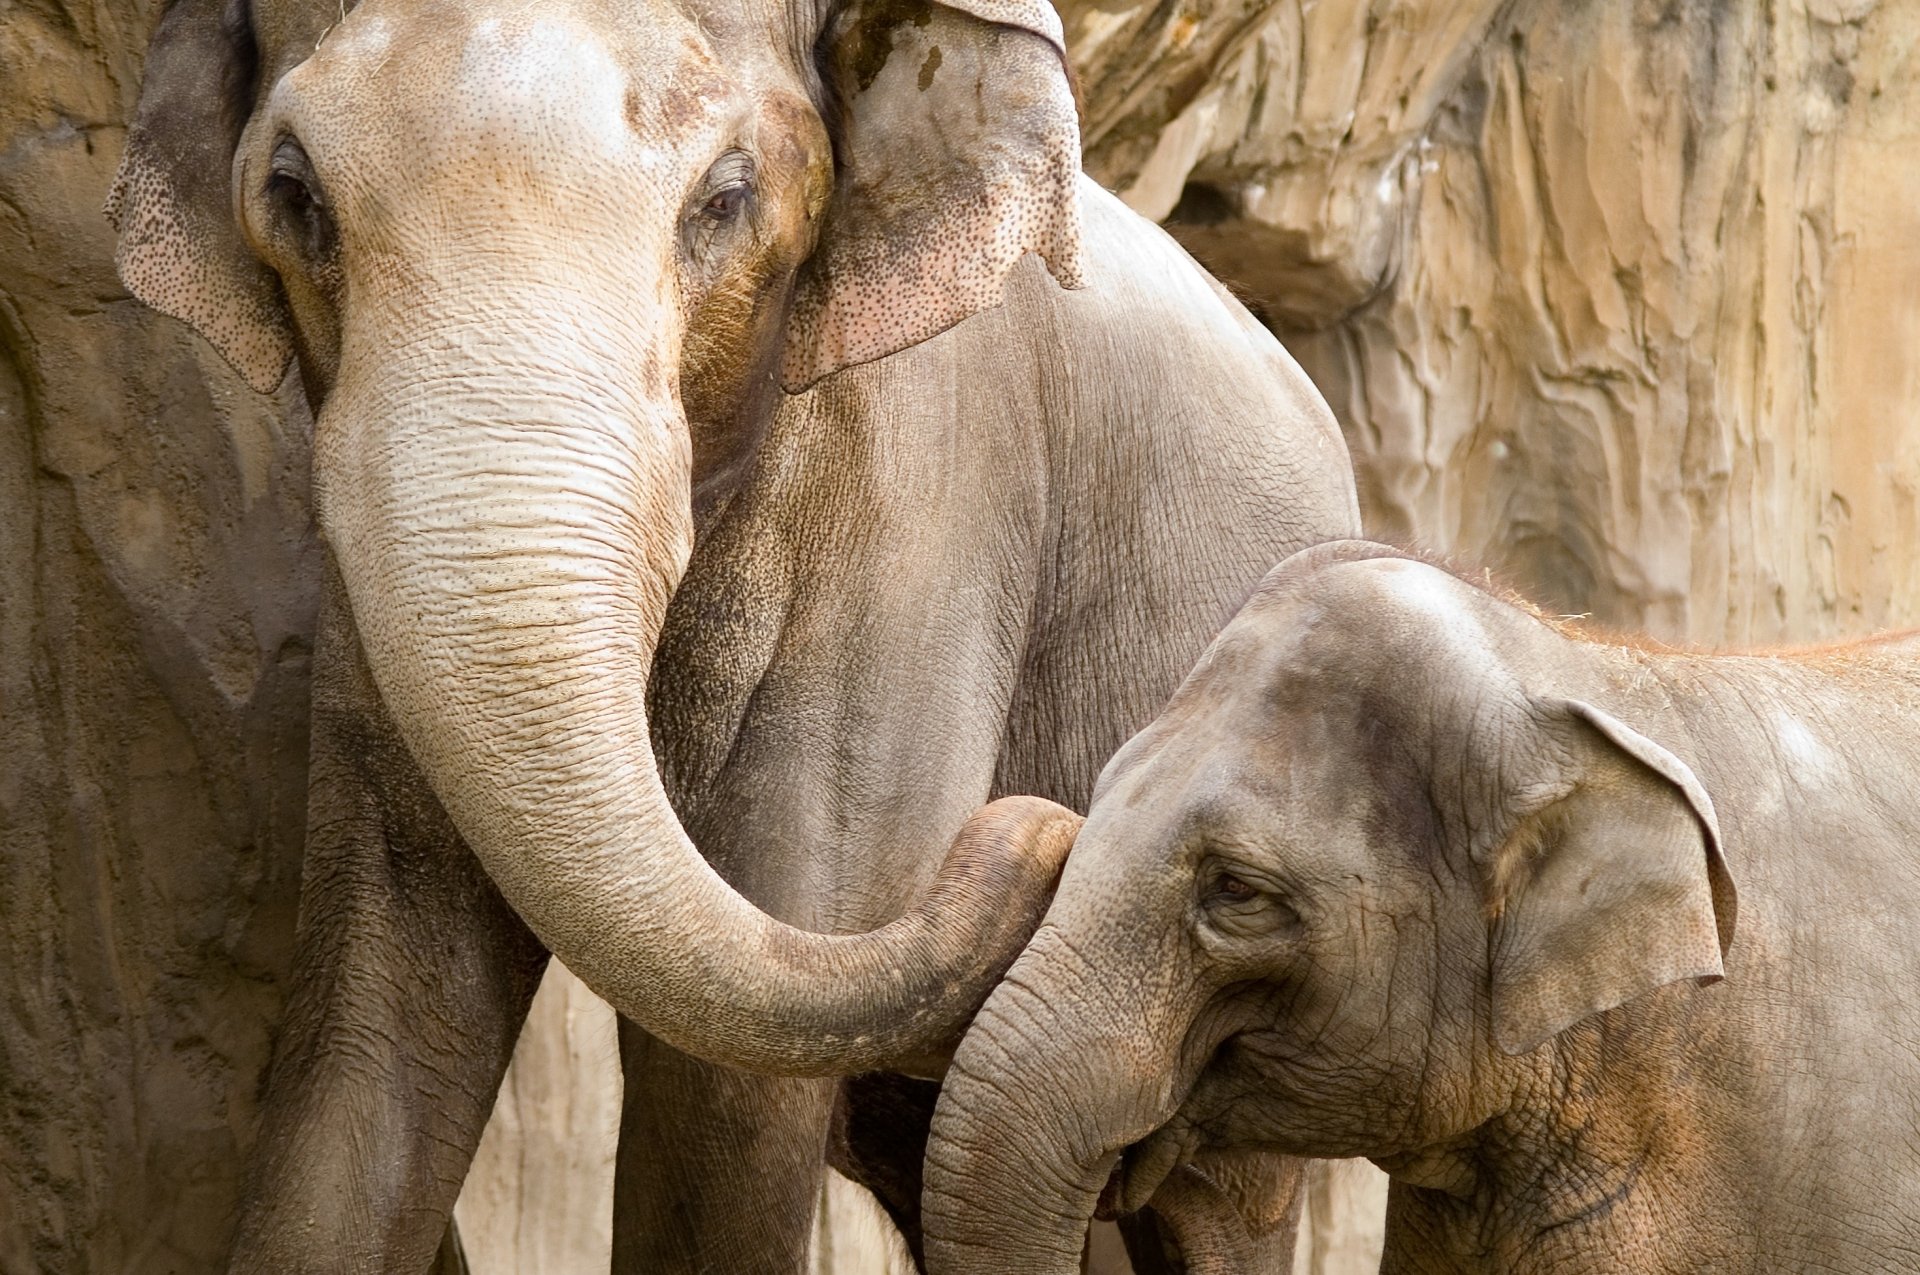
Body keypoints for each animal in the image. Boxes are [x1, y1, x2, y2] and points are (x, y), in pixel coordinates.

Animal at [106, 0, 1363, 1265]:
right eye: (293, 191)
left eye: (726, 195)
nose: (1053, 830)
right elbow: (382, 1014)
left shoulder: (925, 505)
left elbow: (727, 1089)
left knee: (1222, 1209)